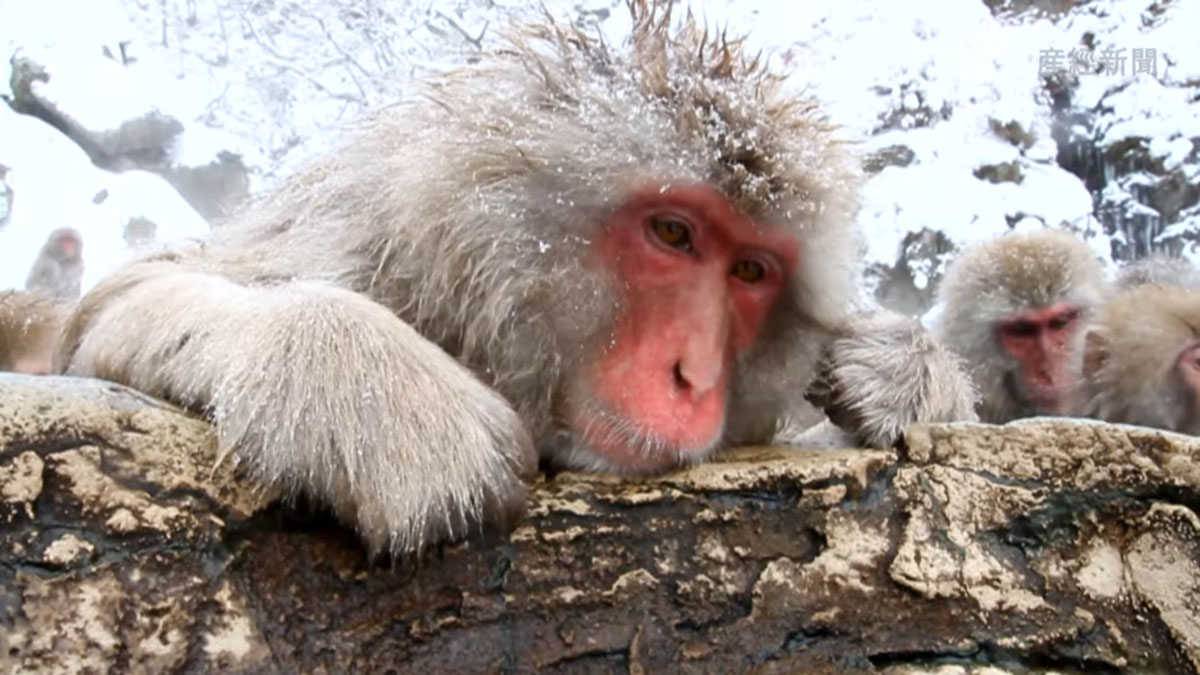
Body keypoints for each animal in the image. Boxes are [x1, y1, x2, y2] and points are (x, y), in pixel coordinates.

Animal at [50, 1, 976, 558]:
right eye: (672, 233)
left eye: (750, 270)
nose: (695, 374)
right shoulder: (360, 242)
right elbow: (117, 305)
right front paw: (374, 386)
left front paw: (906, 371)